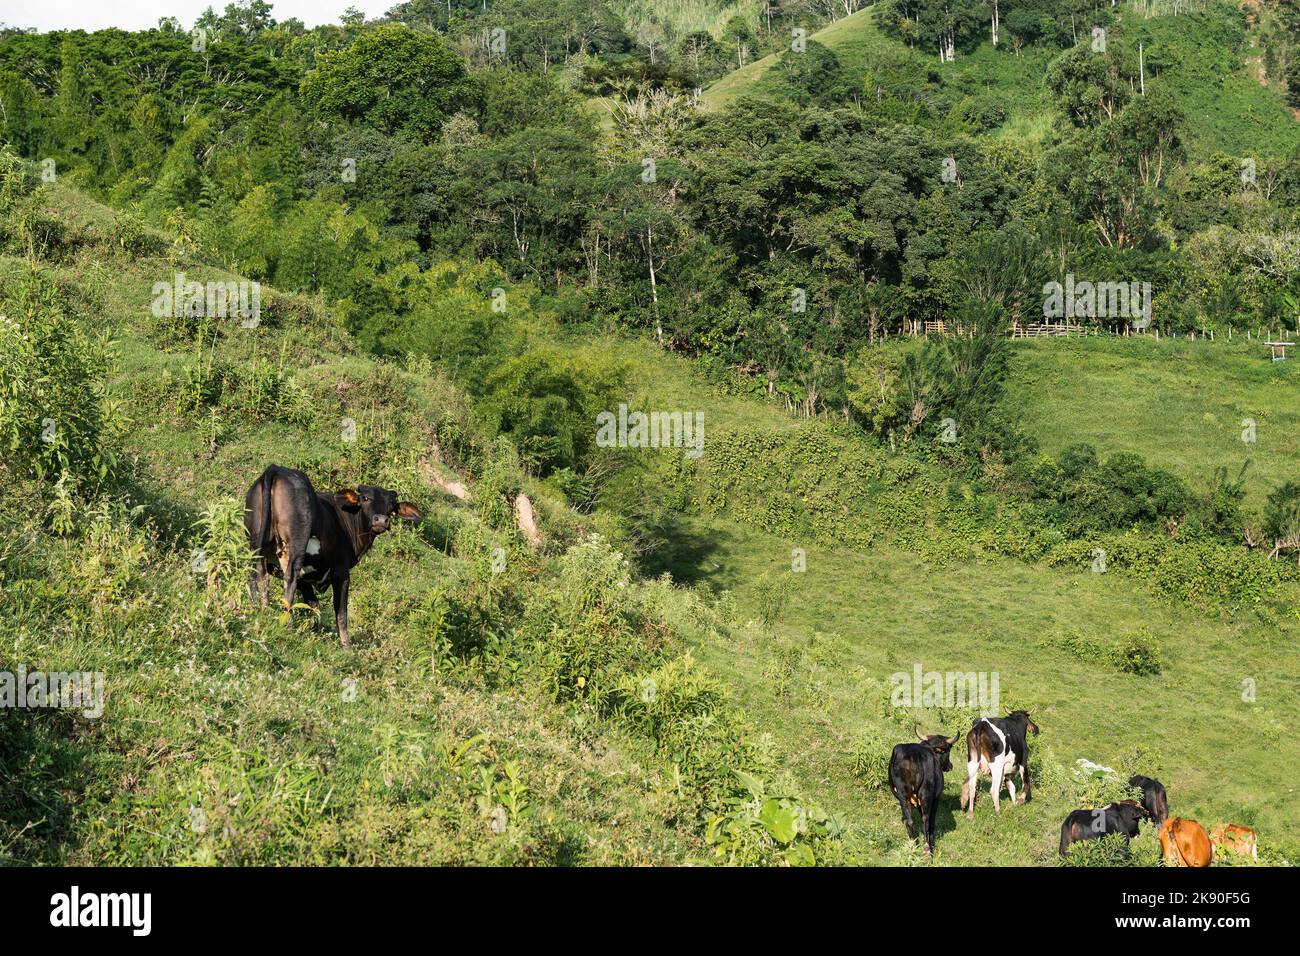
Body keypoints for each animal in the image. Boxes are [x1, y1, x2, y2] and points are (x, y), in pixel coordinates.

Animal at [244, 465, 422, 647]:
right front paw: (346, 645)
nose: (381, 520)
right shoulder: (341, 572)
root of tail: (277, 469)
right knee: (289, 578)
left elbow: (314, 605)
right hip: (296, 543)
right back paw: (287, 623)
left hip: (255, 542)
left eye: (391, 505)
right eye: (365, 498)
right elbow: (341, 612)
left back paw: (260, 610)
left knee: (257, 573)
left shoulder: (307, 578)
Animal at [888, 726, 961, 856]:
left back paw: (913, 846)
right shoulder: (936, 798)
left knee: (909, 821)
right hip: (926, 794)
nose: (950, 766)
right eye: (948, 750)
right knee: (925, 821)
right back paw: (927, 849)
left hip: (902, 794)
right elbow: (931, 821)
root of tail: (912, 756)